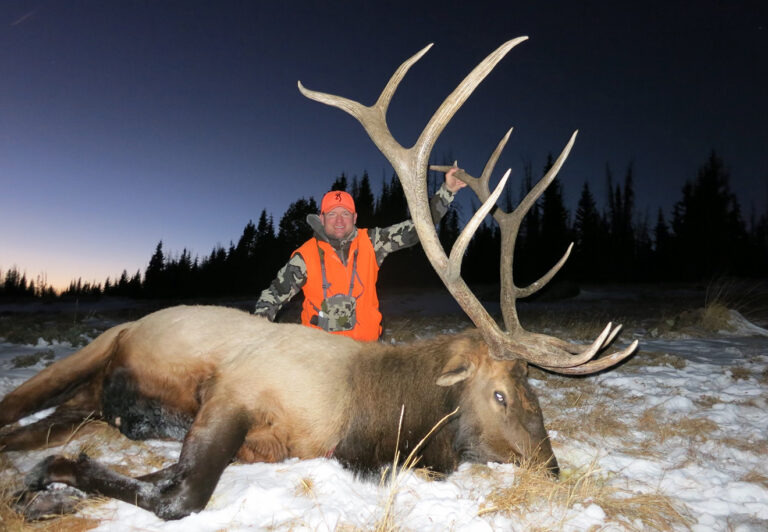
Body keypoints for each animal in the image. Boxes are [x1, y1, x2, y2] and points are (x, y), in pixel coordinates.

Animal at [0, 36, 637, 520]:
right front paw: (51, 478)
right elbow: (182, 494)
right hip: (94, 352)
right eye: (501, 394)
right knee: (16, 407)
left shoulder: (271, 445)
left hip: (85, 403)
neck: (361, 417)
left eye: (536, 392)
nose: (552, 468)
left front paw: (45, 485)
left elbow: (168, 478)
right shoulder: (231, 395)